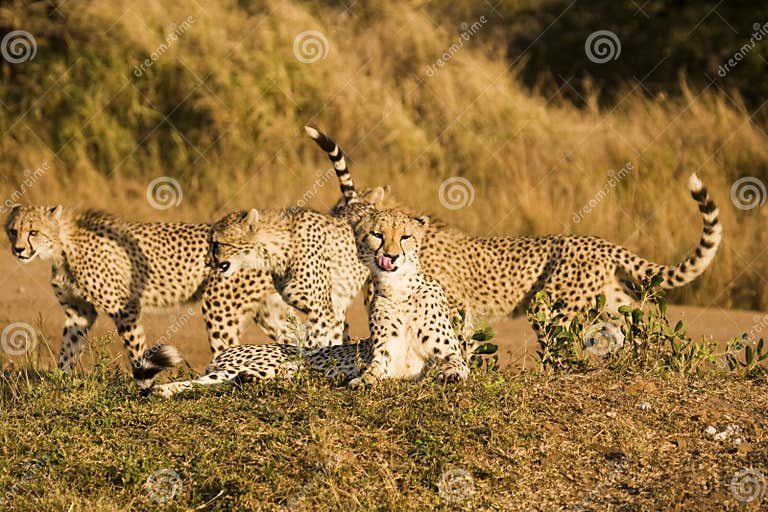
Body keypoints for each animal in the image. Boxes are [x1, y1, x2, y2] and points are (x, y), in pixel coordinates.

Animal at [4, 205, 294, 390]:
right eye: (13, 230)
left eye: (33, 231)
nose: (18, 250)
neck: (63, 242)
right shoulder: (79, 313)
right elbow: (68, 348)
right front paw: (61, 380)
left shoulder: (125, 307)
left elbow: (135, 347)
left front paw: (143, 379)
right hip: (266, 311)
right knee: (293, 340)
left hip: (219, 305)